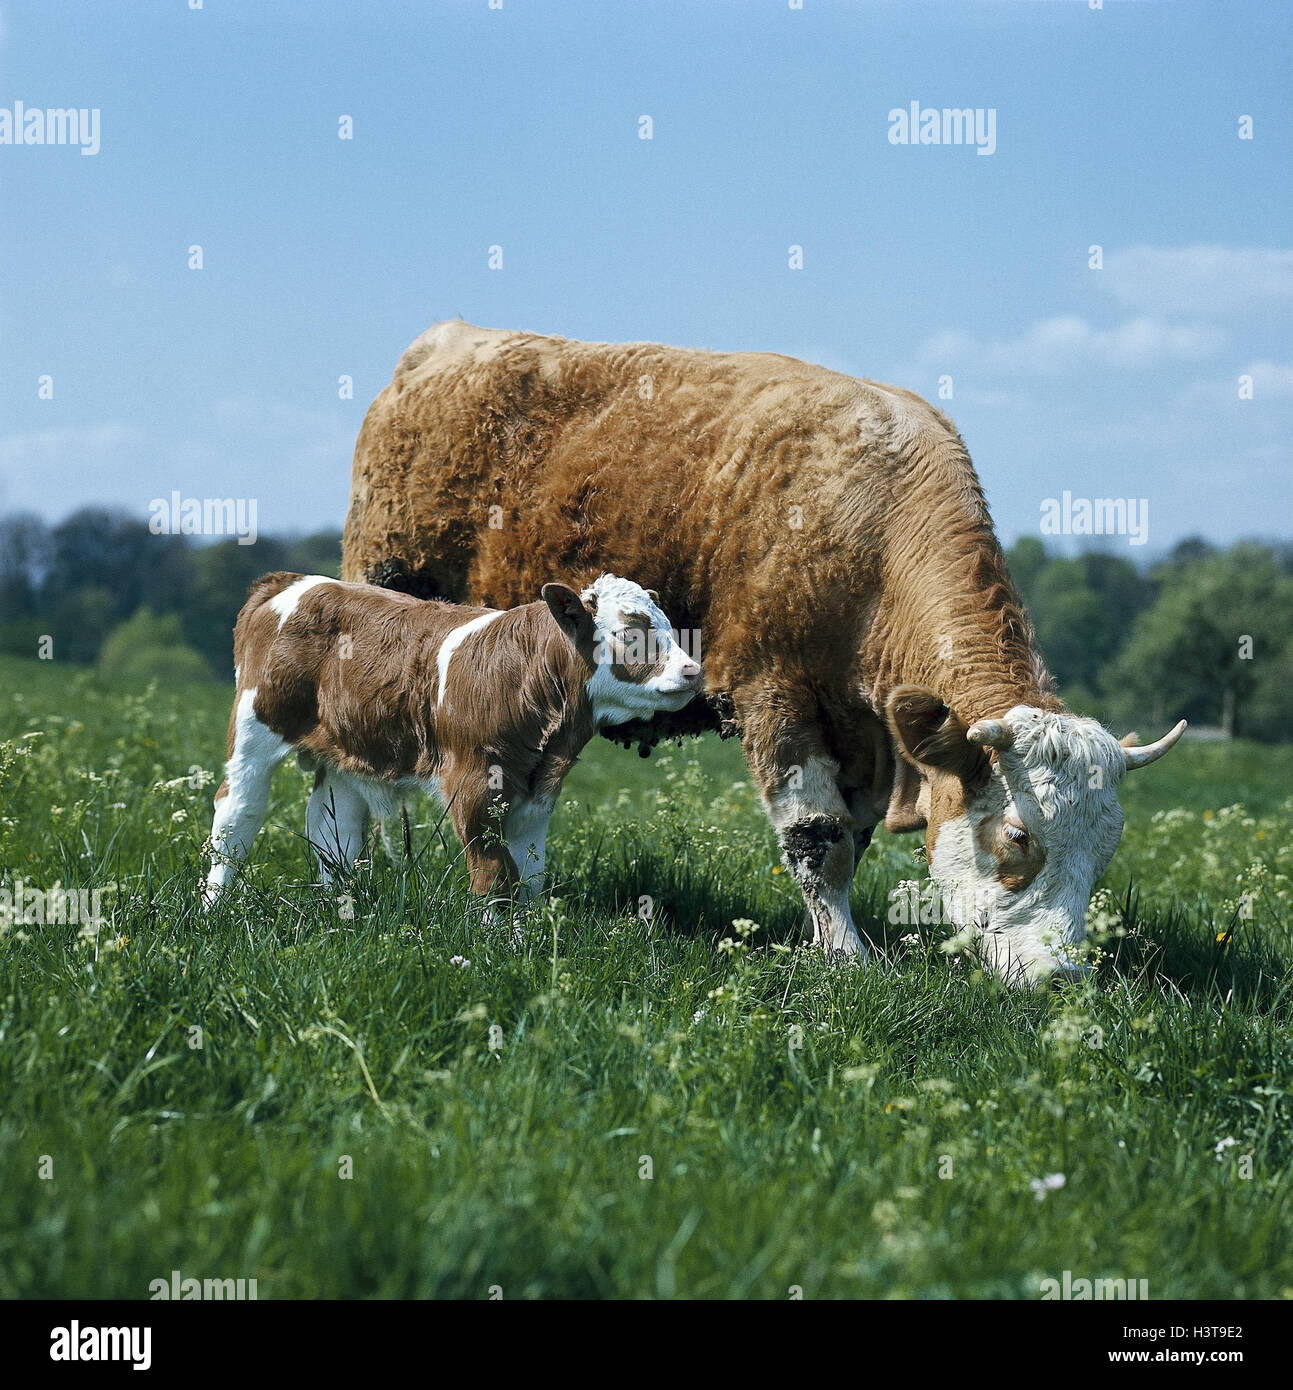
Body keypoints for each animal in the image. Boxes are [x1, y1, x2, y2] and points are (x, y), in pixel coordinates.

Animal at [202, 570, 702, 907]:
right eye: (629, 633)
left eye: (669, 627)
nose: (693, 670)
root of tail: (292, 581)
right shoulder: (473, 785)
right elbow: (494, 874)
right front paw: (496, 950)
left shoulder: (540, 795)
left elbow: (530, 876)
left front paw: (523, 943)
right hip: (254, 730)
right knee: (237, 813)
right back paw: (214, 910)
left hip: (346, 750)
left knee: (333, 828)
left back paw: (338, 908)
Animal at [340, 320, 1185, 985]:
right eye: (1016, 837)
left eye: (1106, 849)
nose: (1061, 977)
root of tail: (448, 340)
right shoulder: (771, 691)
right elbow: (815, 836)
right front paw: (846, 957)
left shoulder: (866, 735)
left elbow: (850, 836)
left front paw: (823, 941)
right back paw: (375, 867)